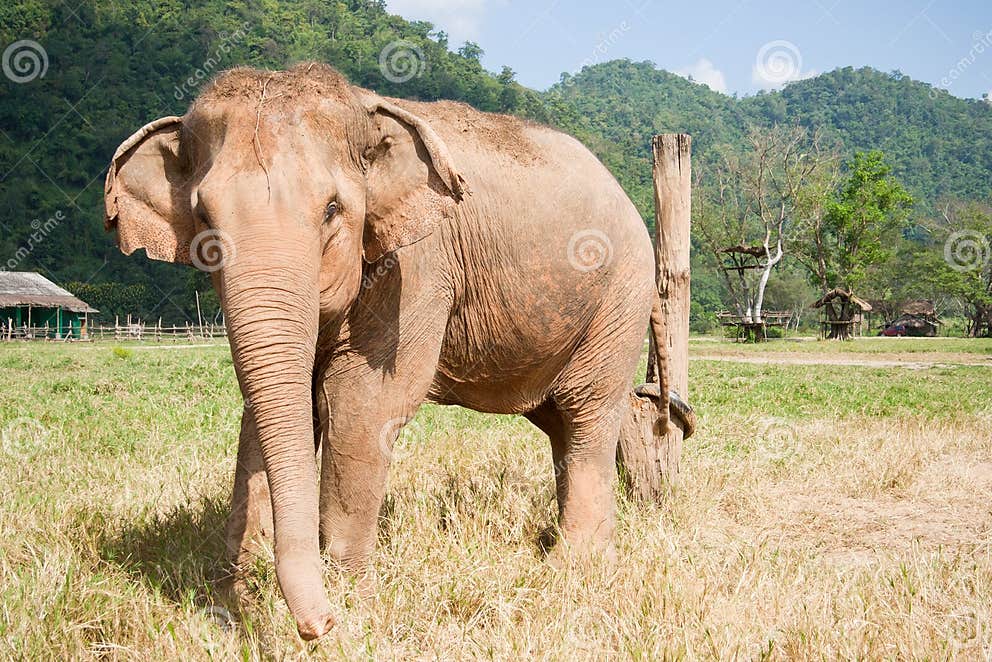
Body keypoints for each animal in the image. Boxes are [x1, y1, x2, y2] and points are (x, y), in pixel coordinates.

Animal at [103, 62, 683, 640]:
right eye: (203, 217)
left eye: (332, 209)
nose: (318, 626)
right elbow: (273, 410)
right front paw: (233, 601)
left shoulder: (417, 265)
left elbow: (362, 404)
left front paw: (350, 603)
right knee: (559, 420)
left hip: (620, 301)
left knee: (588, 413)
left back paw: (573, 568)